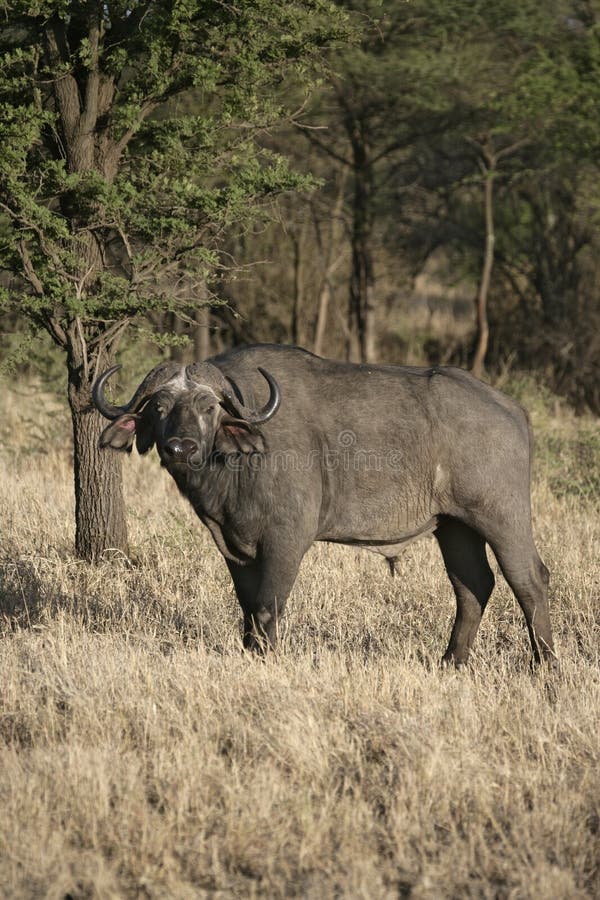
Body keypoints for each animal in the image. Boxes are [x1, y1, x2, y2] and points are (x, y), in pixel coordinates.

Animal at [93, 344, 556, 665]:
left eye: (208, 407)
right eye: (159, 407)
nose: (179, 447)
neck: (234, 465)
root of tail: (514, 409)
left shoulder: (286, 541)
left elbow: (268, 607)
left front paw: (267, 658)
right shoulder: (235, 548)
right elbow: (247, 608)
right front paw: (249, 652)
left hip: (502, 517)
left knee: (530, 579)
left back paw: (544, 664)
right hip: (454, 526)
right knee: (473, 585)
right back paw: (450, 662)